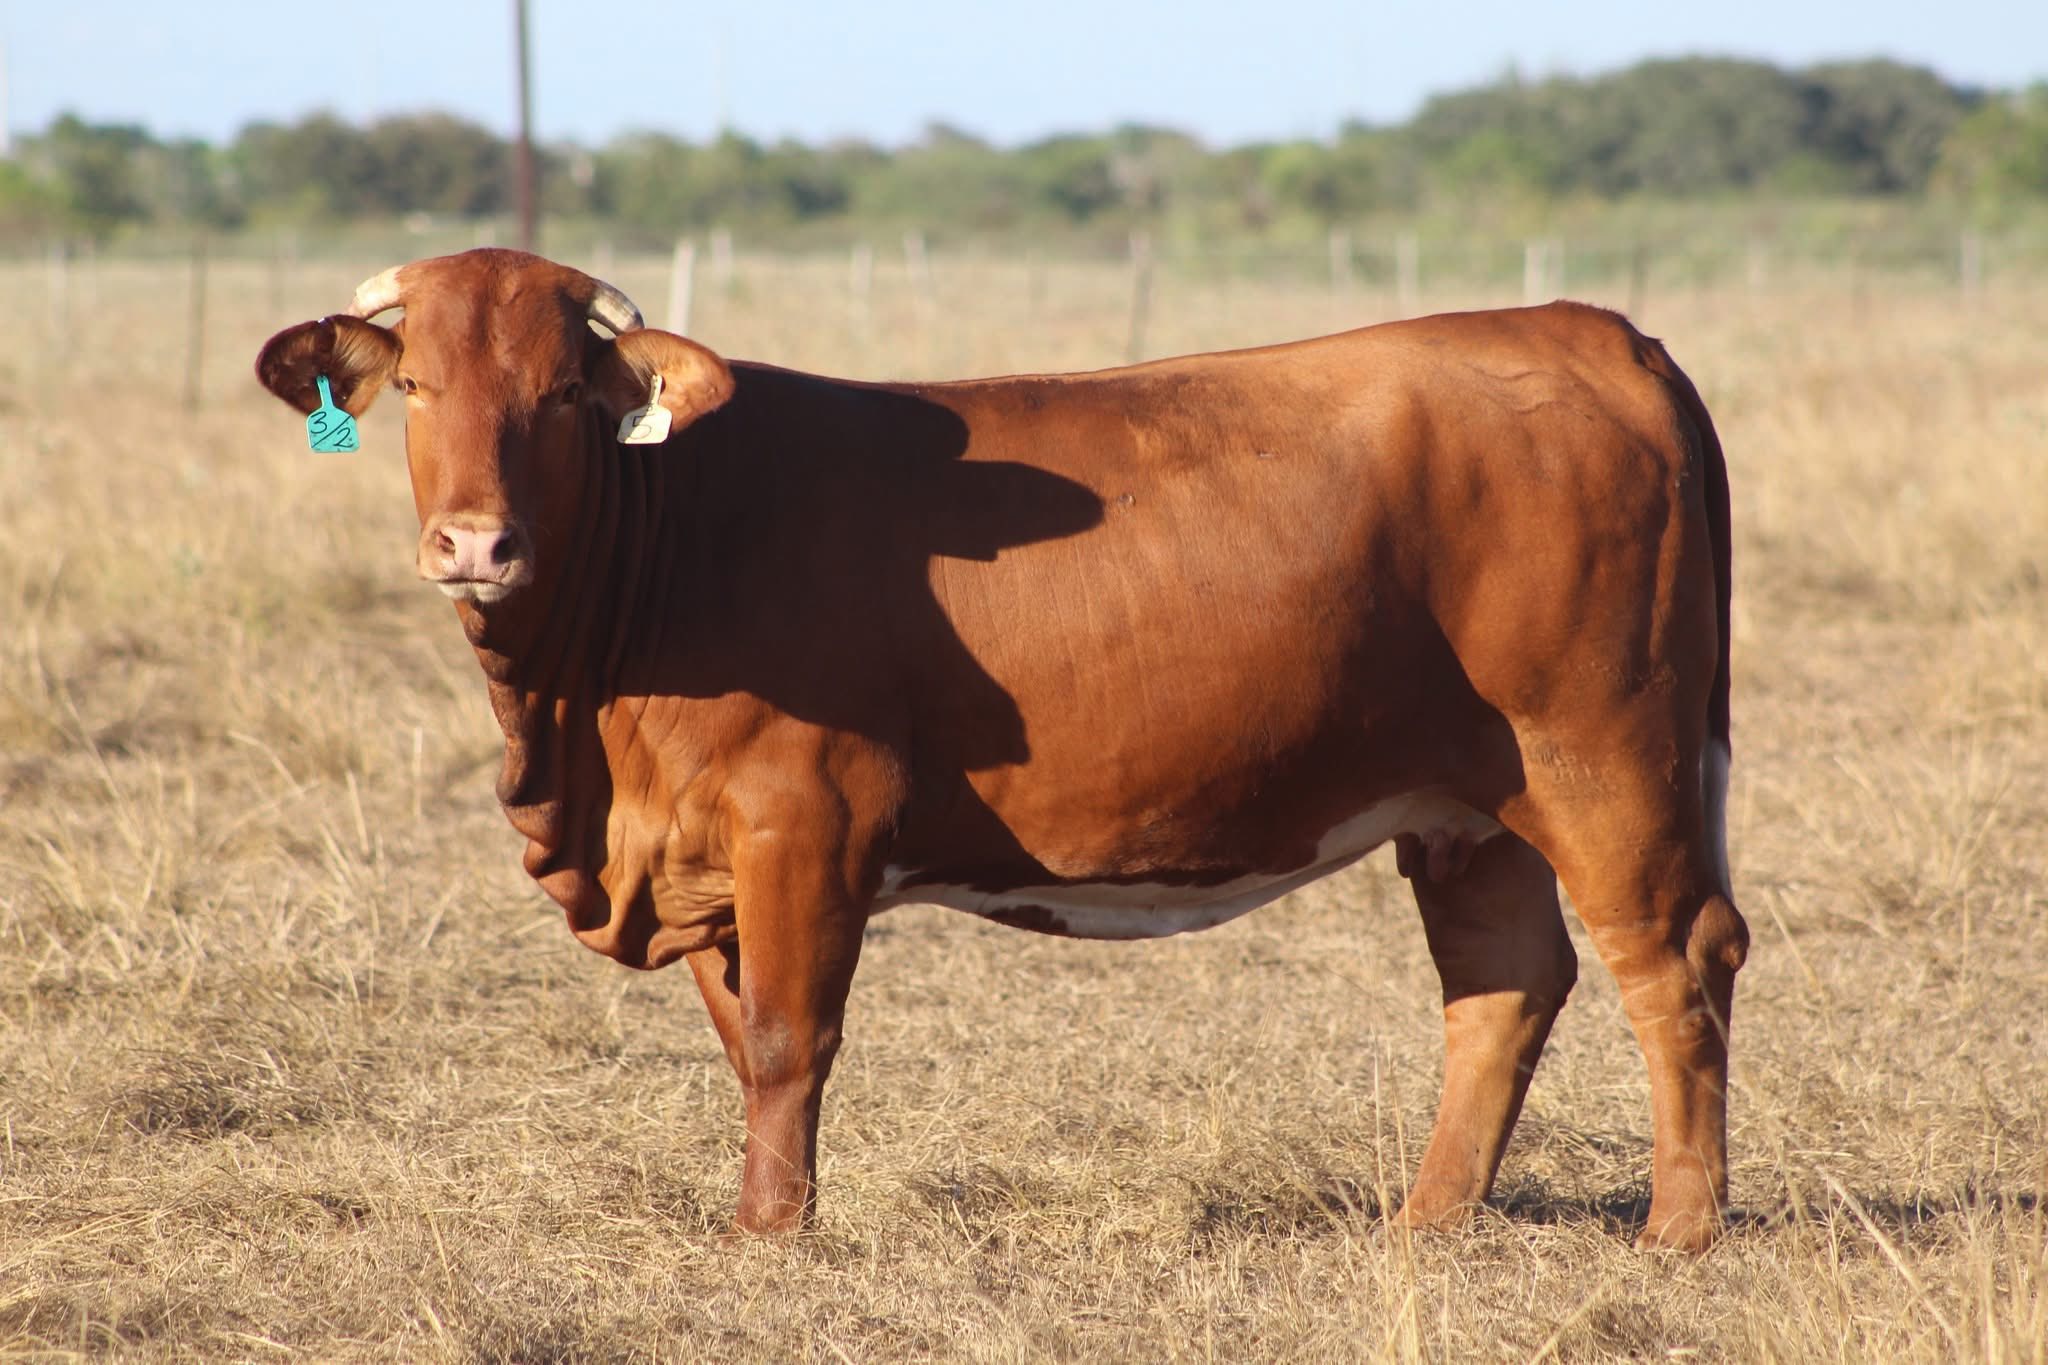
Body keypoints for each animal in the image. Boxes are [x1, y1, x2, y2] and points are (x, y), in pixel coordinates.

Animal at [255, 248, 1747, 1252]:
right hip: (1468, 802)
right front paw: (767, 1211)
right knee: (1505, 983)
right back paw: (1430, 1219)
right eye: (417, 386)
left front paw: (772, 1236)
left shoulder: (807, 821)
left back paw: (1679, 1226)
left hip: (1605, 755)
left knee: (1673, 957)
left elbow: (789, 1037)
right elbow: (744, 1039)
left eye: (566, 392)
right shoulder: (706, 858)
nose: (476, 544)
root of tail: (1587, 329)